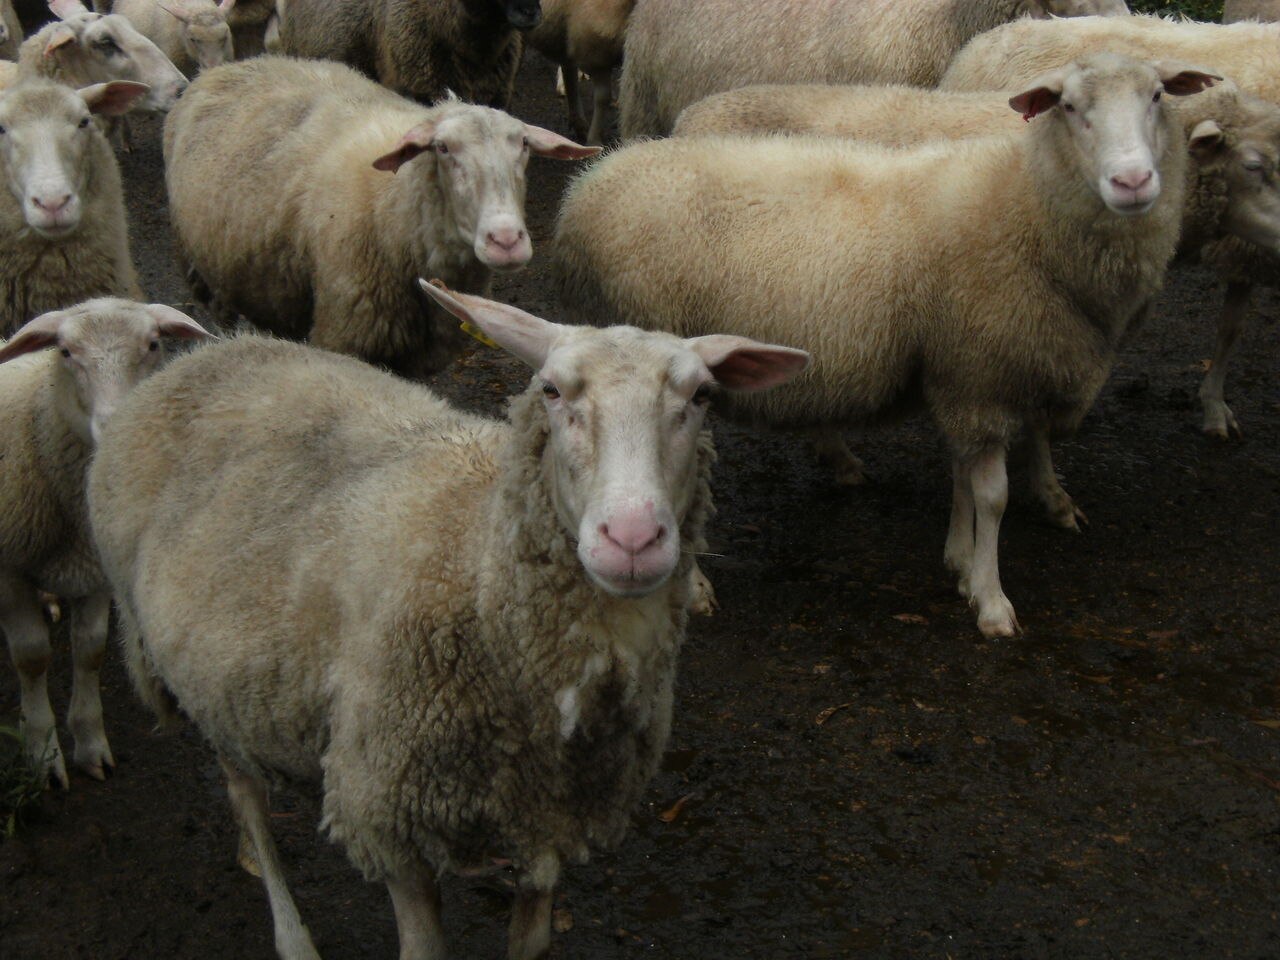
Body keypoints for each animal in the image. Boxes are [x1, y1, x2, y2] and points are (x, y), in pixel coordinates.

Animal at [0, 298, 213, 788]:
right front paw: (43, 752)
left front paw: (90, 742)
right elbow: (32, 657)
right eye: (65, 352)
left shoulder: (95, 568)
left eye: (153, 344)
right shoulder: (9, 571)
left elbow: (91, 649)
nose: (116, 424)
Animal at [86, 281, 806, 960]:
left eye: (702, 396)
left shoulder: (549, 812)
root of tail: (213, 353)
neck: (476, 574)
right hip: (200, 674)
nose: (631, 538)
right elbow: (423, 947)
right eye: (551, 390)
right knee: (245, 796)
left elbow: (531, 942)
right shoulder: (388, 807)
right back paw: (289, 928)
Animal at [164, 56, 597, 378]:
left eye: (523, 145)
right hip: (203, 272)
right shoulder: (345, 335)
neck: (393, 208)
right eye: (442, 148)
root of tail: (225, 67)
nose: (505, 241)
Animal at [555, 53, 1218, 638]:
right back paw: (693, 589)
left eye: (1158, 96)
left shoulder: (958, 370)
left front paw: (959, 562)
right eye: (1072, 108)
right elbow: (993, 496)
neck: (1026, 205)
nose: (1133, 181)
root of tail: (588, 187)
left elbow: (962, 474)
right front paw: (991, 600)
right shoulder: (980, 374)